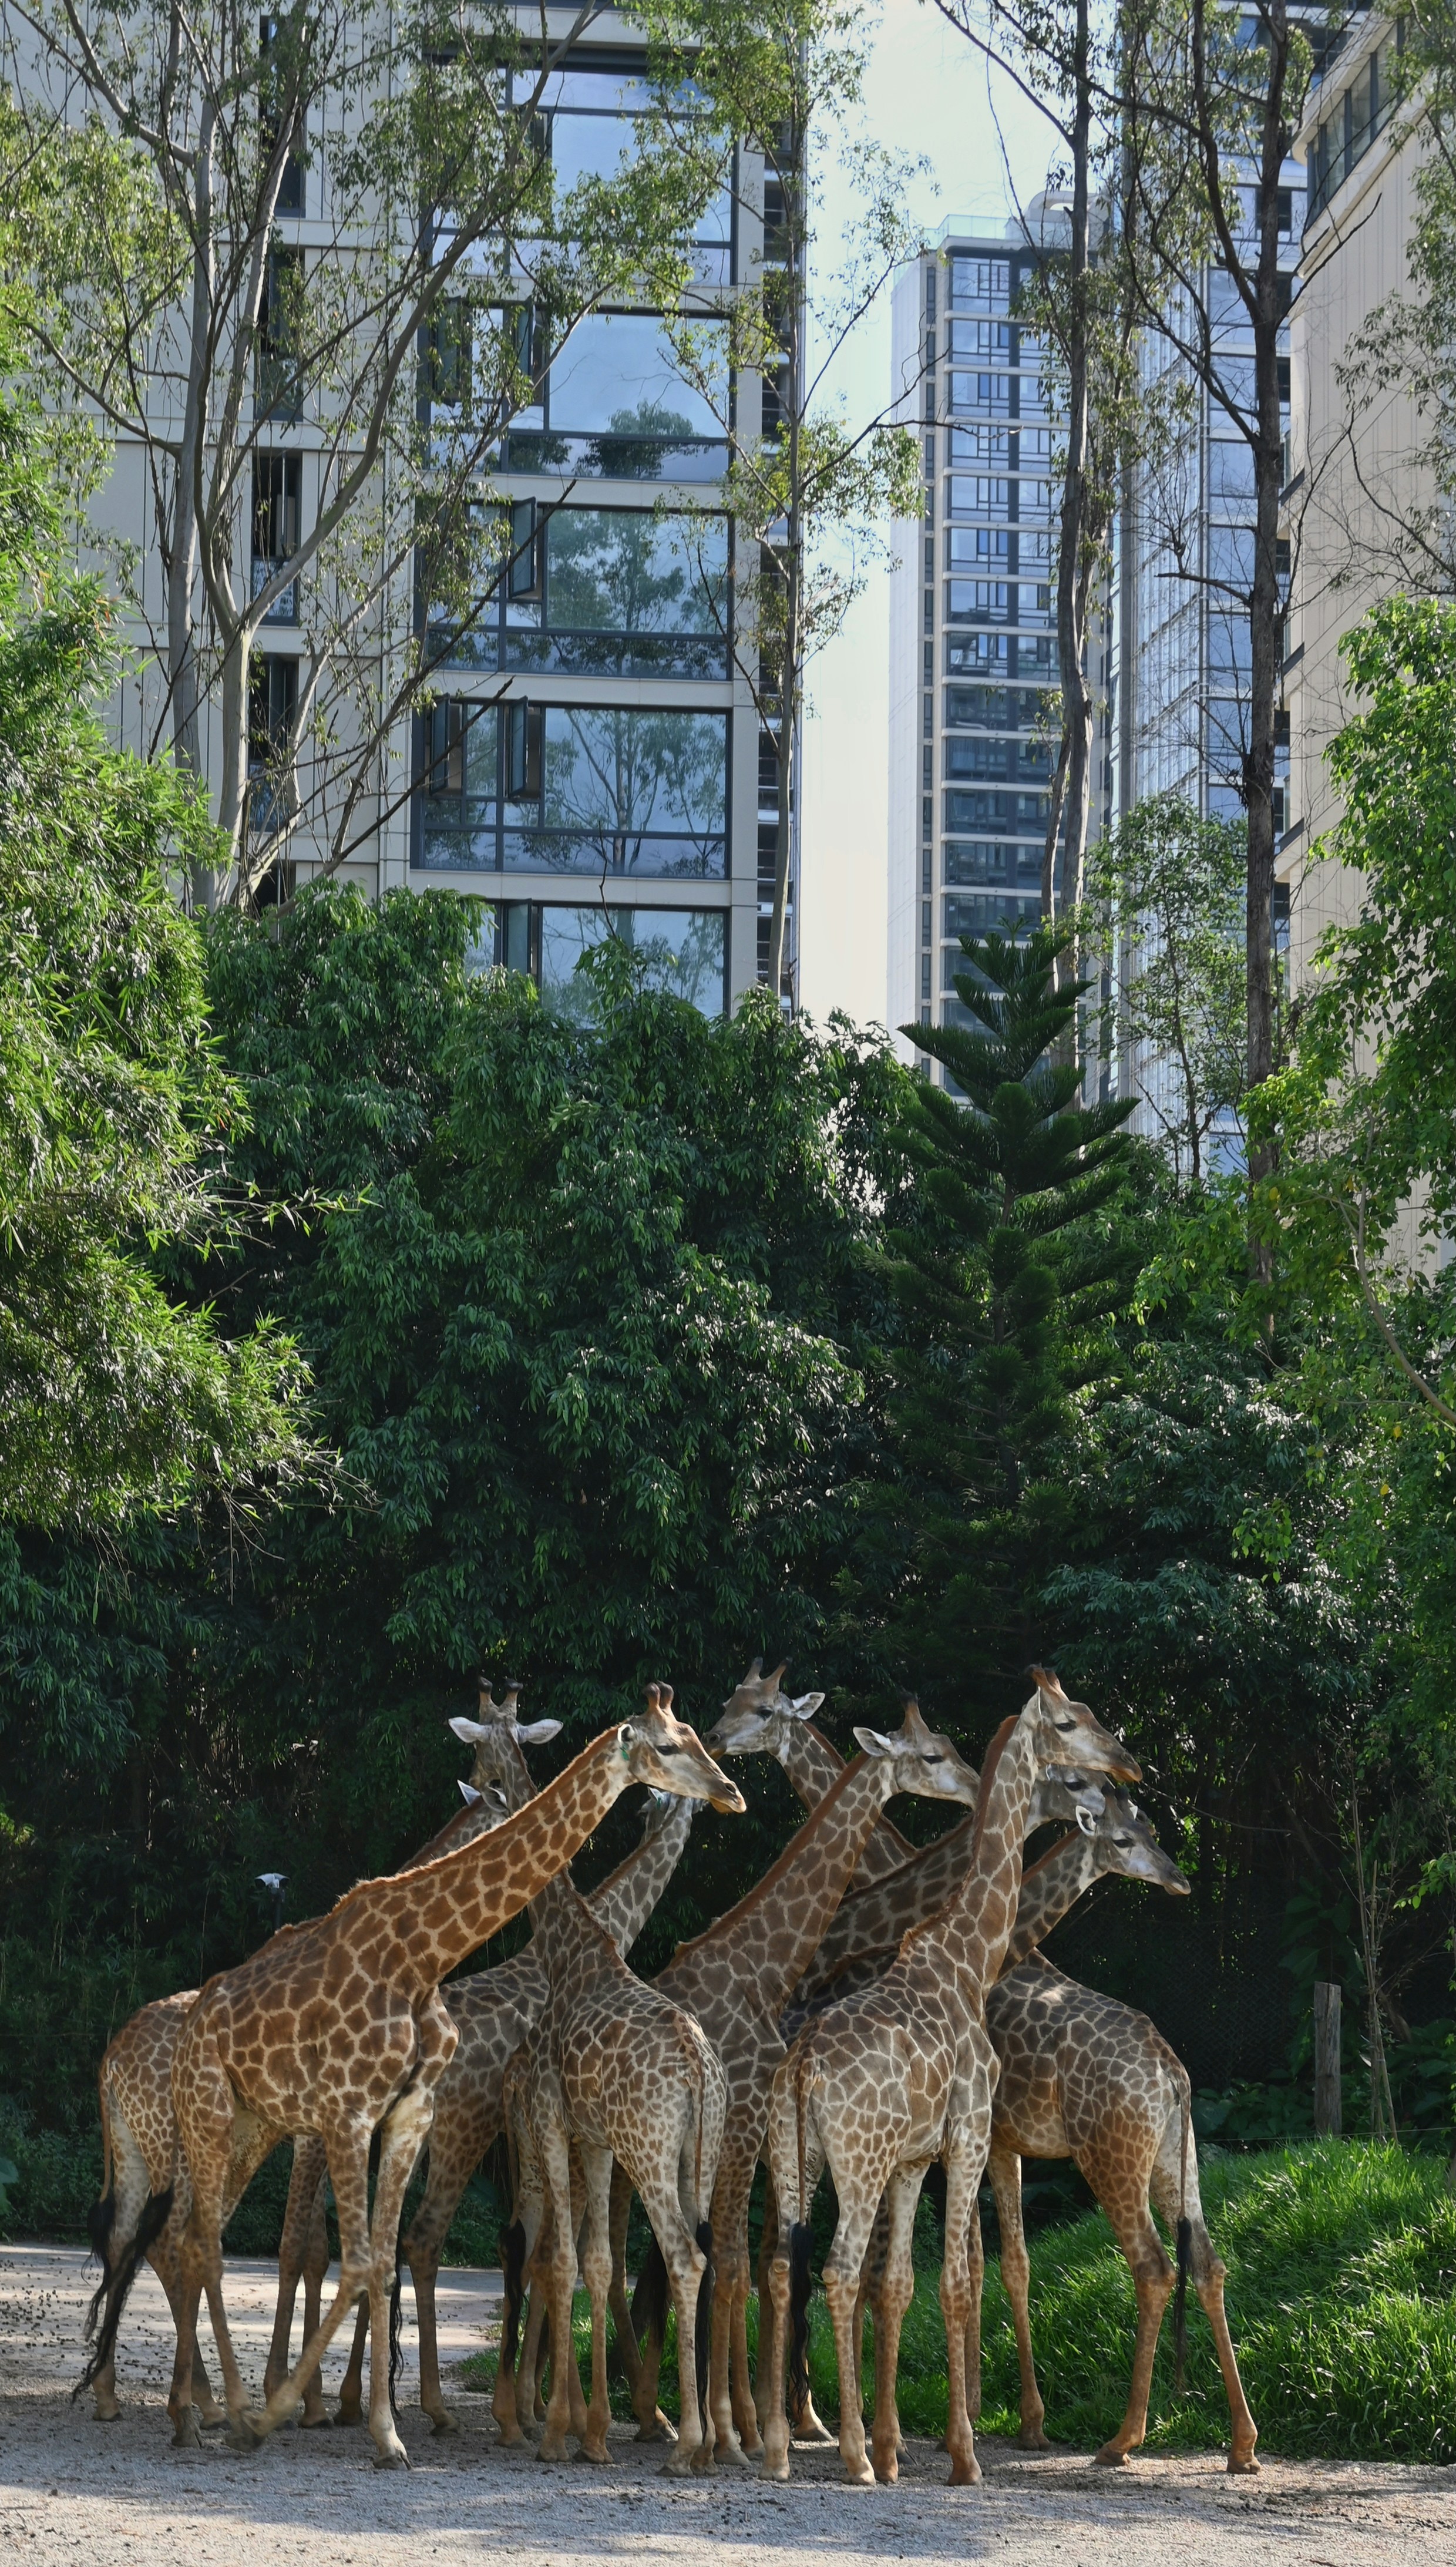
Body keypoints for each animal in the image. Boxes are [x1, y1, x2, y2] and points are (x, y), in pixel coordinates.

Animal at [76, 1759, 508, 2434]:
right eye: (505, 1803)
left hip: (135, 2147)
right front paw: (307, 2399)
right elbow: (305, 2246)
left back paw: (116, 2395)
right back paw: (203, 2401)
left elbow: (323, 2245)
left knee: (131, 2238)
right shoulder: (321, 2127)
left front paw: (315, 2397)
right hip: (179, 2146)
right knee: (173, 2241)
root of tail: (111, 2061)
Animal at [166, 1693, 744, 2467]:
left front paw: (386, 2430)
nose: (731, 1790)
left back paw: (200, 2411)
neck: (423, 1951)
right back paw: (231, 2412)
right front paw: (298, 2414)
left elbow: (382, 2261)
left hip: (253, 2123)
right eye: (669, 1745)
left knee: (200, 2237)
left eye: (692, 1736)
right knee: (210, 2242)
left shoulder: (407, 2114)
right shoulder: (354, 2113)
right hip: (212, 2111)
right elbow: (368, 2260)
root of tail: (195, 2016)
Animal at [758, 1673, 1140, 2488]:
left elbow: (903, 2282)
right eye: (1069, 1723)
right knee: (836, 2268)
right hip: (856, 2160)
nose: (1125, 1767)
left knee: (779, 2266)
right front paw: (961, 2455)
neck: (970, 1955)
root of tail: (802, 2069)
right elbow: (959, 2279)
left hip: (795, 2155)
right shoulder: (966, 2134)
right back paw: (848, 2456)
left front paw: (897, 2446)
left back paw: (777, 2446)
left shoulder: (912, 2159)